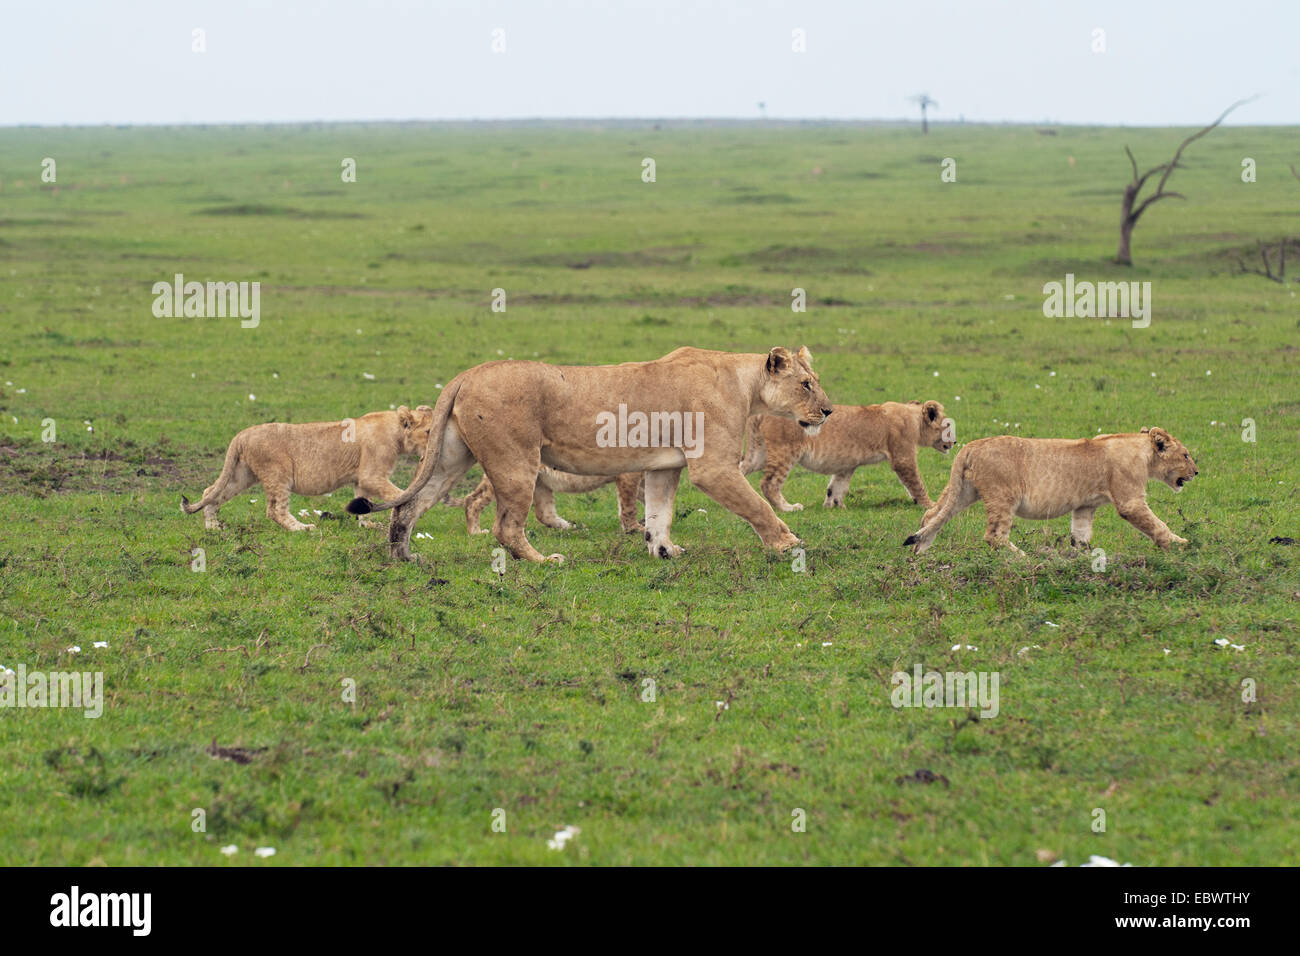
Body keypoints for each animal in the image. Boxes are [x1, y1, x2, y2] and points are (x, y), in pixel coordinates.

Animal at [181, 406, 434, 531]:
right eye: (429, 431)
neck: (397, 431)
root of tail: (241, 434)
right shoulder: (372, 475)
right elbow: (399, 494)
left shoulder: (362, 480)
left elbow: (363, 501)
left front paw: (368, 524)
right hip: (278, 472)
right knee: (275, 510)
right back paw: (302, 528)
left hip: (242, 474)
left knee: (210, 493)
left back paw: (213, 528)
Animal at [463, 468, 645, 535]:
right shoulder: (629, 474)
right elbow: (629, 506)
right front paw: (635, 529)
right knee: (472, 502)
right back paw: (476, 532)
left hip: (539, 482)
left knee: (544, 514)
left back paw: (572, 527)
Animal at [741, 400, 953, 511]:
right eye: (948, 426)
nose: (955, 443)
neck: (915, 419)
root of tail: (760, 413)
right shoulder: (902, 456)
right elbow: (917, 484)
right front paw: (931, 505)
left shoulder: (847, 464)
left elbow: (836, 487)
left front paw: (834, 507)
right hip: (785, 451)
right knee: (769, 483)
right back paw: (789, 508)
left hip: (758, 454)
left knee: (738, 470)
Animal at [903, 426, 1198, 554]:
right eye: (1186, 455)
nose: (1196, 472)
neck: (1144, 453)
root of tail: (970, 447)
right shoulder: (1130, 501)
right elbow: (1157, 524)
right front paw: (1180, 544)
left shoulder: (1085, 506)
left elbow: (1080, 534)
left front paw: (1082, 556)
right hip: (1003, 495)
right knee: (994, 535)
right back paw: (1021, 558)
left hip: (965, 491)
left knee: (931, 517)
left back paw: (920, 552)